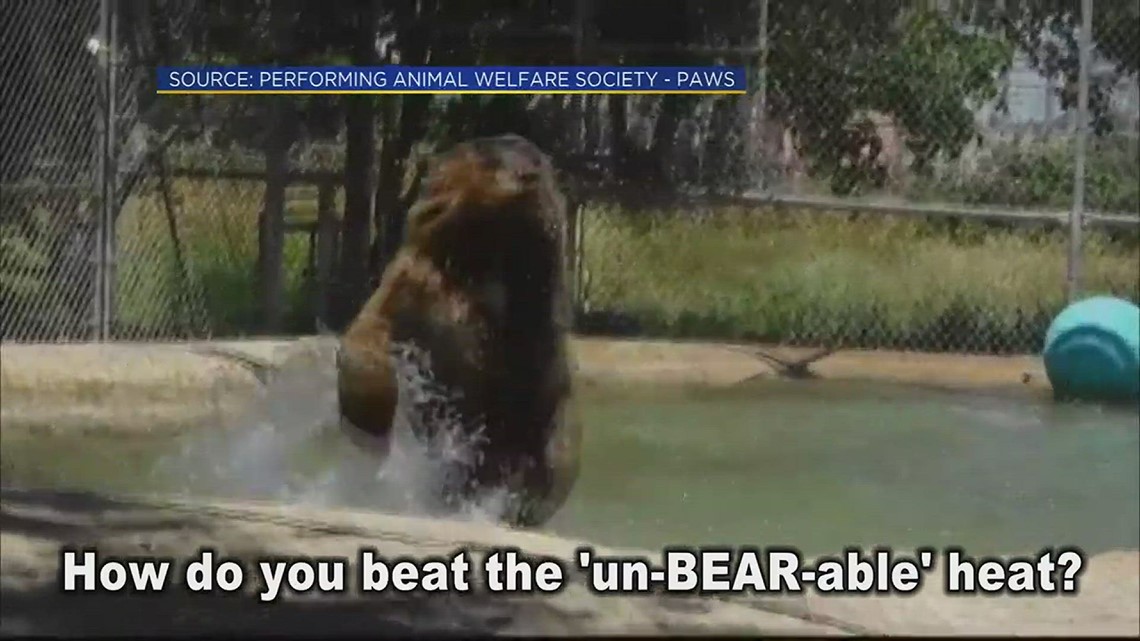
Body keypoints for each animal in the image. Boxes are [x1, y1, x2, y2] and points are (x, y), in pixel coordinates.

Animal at [335, 134, 581, 528]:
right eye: (491, 156)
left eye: (534, 160)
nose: (528, 172)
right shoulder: (414, 282)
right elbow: (371, 333)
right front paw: (368, 427)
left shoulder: (531, 311)